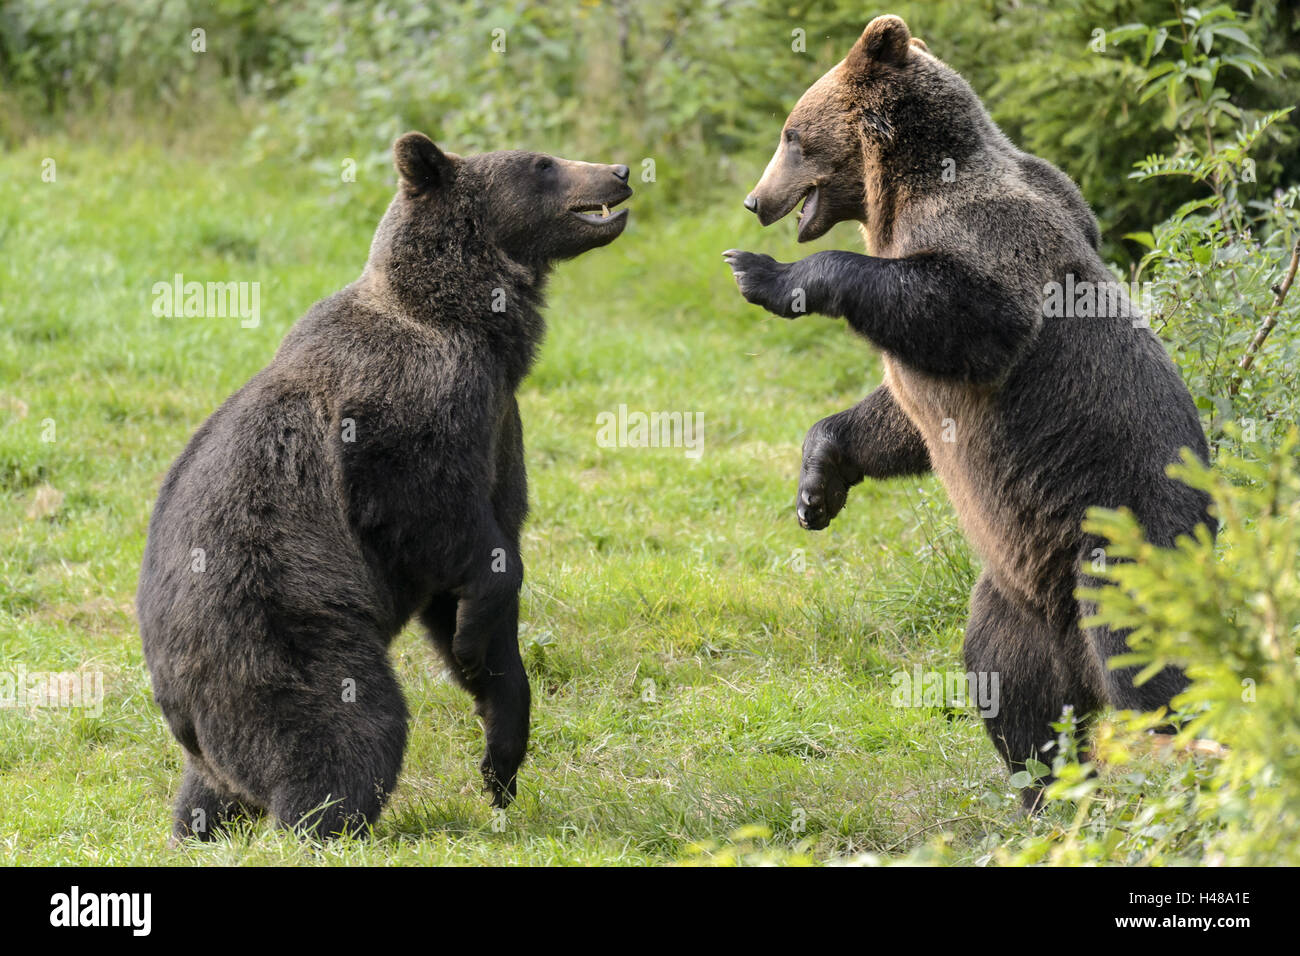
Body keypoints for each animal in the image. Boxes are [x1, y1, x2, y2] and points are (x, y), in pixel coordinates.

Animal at [137, 132, 632, 839]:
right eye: (542, 163)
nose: (619, 170)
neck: (474, 328)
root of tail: (174, 702)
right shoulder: (402, 422)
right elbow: (449, 529)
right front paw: (479, 653)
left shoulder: (498, 428)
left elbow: (475, 589)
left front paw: (499, 751)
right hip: (277, 631)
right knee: (345, 727)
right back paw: (329, 821)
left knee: (206, 791)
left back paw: (196, 825)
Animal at [722, 15, 1211, 809]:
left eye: (792, 135)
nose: (754, 201)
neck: (894, 194)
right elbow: (901, 417)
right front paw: (816, 487)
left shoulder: (988, 239)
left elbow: (971, 316)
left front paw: (763, 272)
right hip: (1014, 596)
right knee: (1009, 688)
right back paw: (1047, 795)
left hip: (1125, 536)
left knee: (1154, 664)